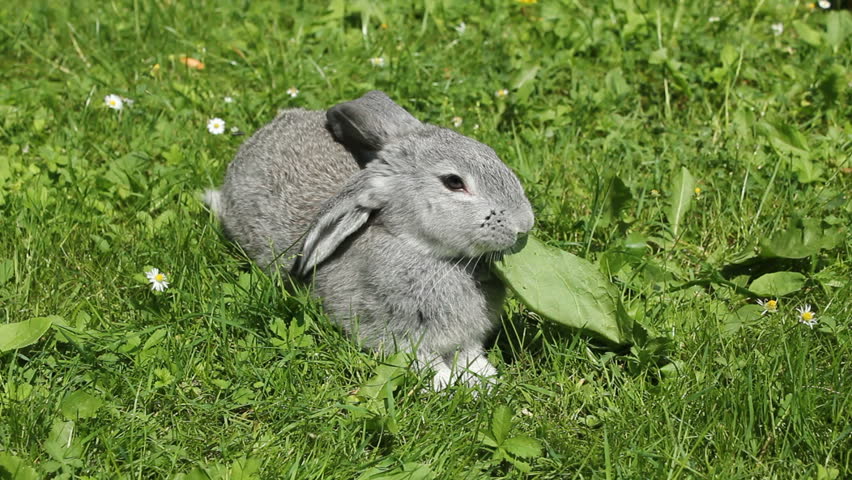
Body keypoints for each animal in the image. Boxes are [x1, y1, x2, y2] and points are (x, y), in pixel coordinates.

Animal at [206, 91, 535, 390]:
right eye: (453, 182)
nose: (524, 224)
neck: (414, 246)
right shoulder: (395, 336)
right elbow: (426, 362)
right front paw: (450, 385)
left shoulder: (465, 338)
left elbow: (468, 354)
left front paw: (483, 380)